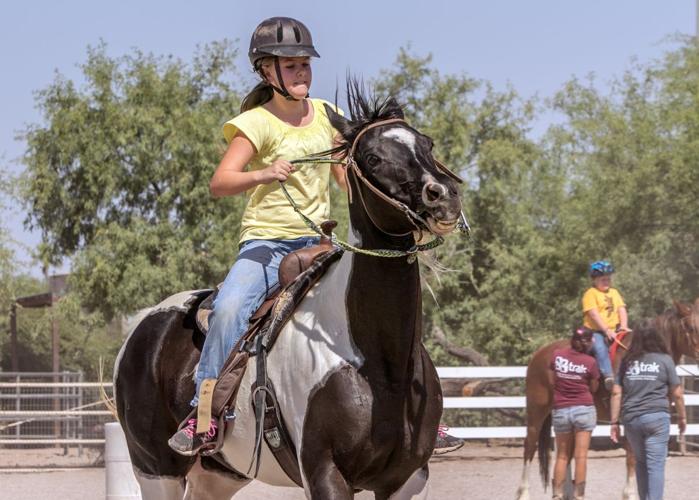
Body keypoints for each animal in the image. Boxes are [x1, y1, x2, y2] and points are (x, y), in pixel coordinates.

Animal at [113, 82, 465, 500]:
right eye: (373, 157)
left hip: (219, 474)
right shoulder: (324, 472)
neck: (380, 364)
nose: (442, 195)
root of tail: (140, 325)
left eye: (426, 143)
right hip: (155, 469)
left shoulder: (410, 478)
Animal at [515, 299, 699, 500]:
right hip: (537, 410)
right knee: (529, 446)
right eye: (691, 327)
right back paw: (523, 492)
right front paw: (629, 494)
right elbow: (632, 457)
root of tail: (539, 353)